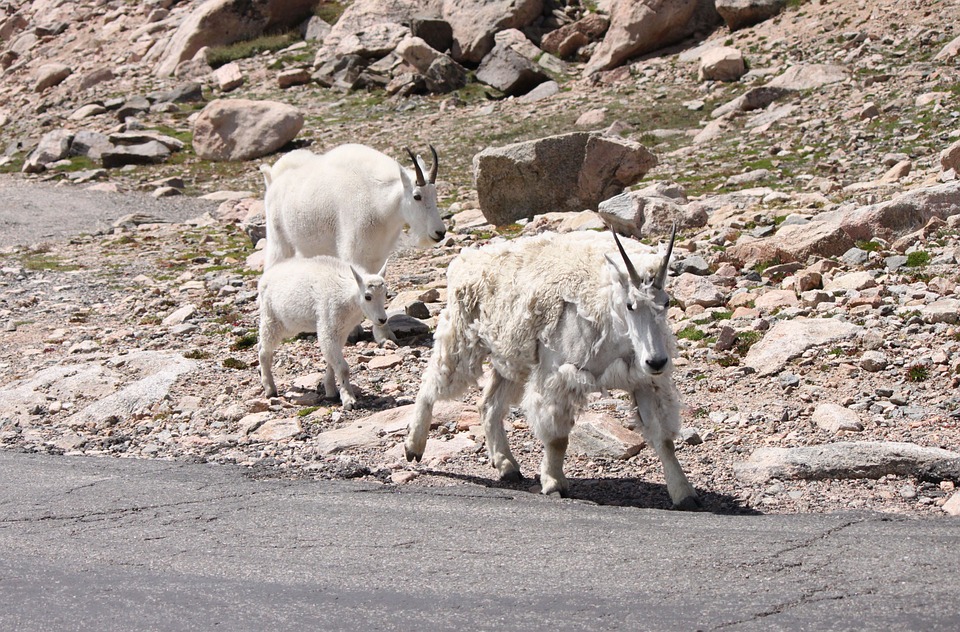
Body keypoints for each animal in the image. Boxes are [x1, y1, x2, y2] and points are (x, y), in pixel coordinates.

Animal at [257, 255, 388, 411]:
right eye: (368, 296)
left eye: (386, 294)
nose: (382, 319)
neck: (348, 296)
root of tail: (264, 278)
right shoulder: (328, 326)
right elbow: (343, 368)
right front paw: (349, 399)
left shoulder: (341, 331)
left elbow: (332, 362)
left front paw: (331, 390)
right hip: (272, 319)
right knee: (264, 351)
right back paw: (270, 388)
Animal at [260, 143, 446, 343]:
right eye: (417, 196)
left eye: (435, 194)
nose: (440, 233)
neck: (380, 203)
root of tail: (273, 180)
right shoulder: (353, 251)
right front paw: (354, 331)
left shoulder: (377, 255)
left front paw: (384, 334)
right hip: (278, 238)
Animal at [404, 227, 701, 510]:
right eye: (631, 305)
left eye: (666, 302)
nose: (657, 361)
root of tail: (464, 261)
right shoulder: (558, 376)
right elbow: (557, 439)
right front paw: (555, 483)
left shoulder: (643, 380)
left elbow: (663, 439)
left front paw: (684, 494)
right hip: (462, 338)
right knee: (432, 385)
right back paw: (413, 446)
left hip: (512, 359)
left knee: (489, 405)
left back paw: (506, 466)